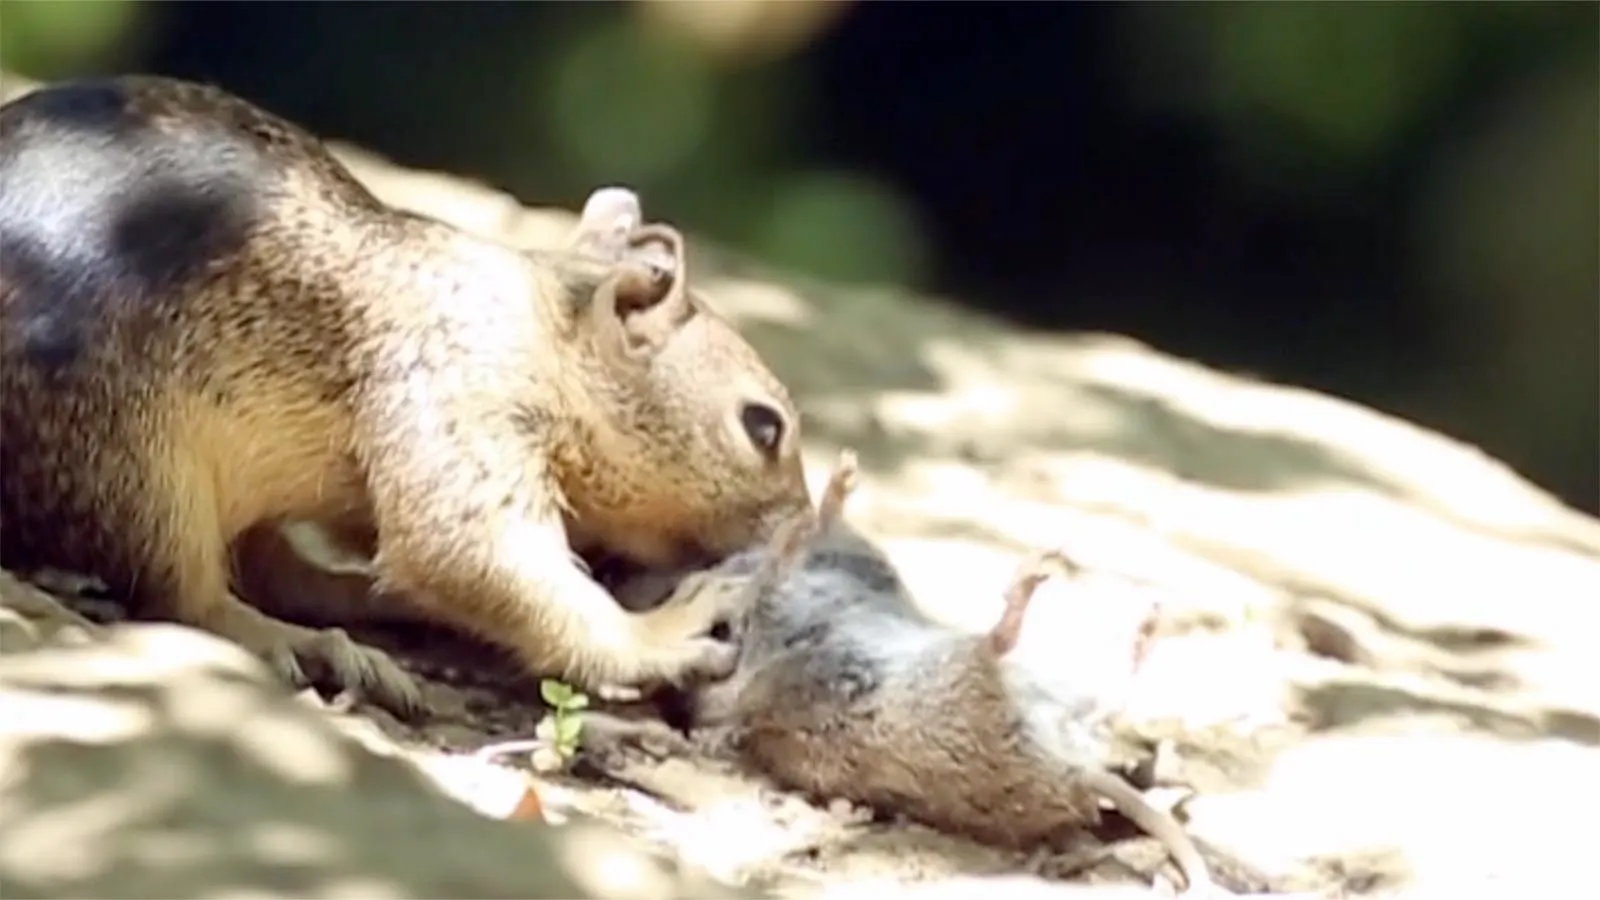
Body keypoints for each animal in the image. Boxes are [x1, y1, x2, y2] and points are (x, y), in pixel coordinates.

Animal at [0, 74, 811, 718]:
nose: (804, 528)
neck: (544, 335)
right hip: (134, 461)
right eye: (763, 427)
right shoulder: (461, 393)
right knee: (188, 597)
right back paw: (311, 644)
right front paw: (662, 633)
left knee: (273, 570)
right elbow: (466, 550)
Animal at [584, 451, 1224, 896]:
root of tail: (1072, 771)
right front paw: (827, 498)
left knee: (1108, 695)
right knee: (1000, 642)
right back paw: (1035, 584)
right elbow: (785, 559)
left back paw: (1144, 620)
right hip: (963, 680)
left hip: (1043, 690)